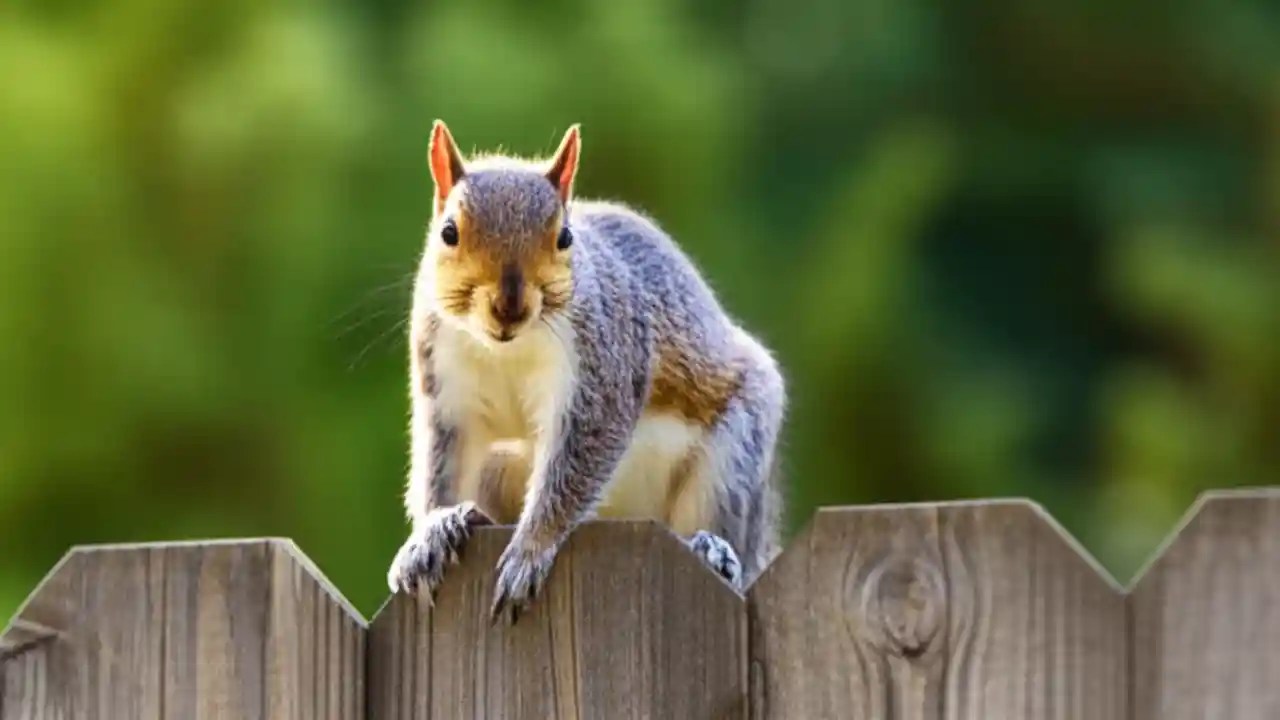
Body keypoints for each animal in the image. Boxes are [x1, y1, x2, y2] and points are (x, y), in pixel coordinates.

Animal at [386, 120, 787, 622]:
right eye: (448, 232)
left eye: (564, 238)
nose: (509, 307)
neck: (507, 349)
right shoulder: (445, 388)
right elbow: (440, 467)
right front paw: (430, 532)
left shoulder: (605, 370)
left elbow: (575, 468)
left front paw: (530, 551)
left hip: (734, 457)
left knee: (728, 523)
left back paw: (715, 551)